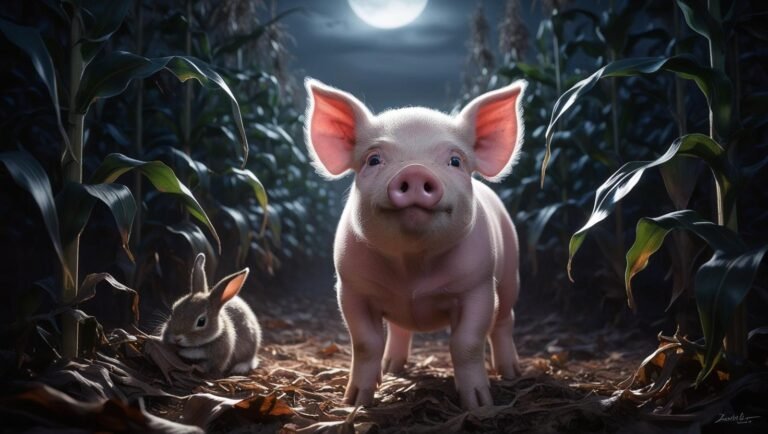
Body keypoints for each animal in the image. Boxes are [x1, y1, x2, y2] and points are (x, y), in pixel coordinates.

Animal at [304, 77, 526, 409]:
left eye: (455, 161)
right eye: (374, 159)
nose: (415, 170)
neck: (412, 268)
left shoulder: (478, 286)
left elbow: (466, 342)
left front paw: (479, 403)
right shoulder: (351, 287)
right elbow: (365, 342)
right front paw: (356, 402)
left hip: (511, 273)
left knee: (504, 319)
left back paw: (510, 373)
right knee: (398, 328)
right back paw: (391, 368)